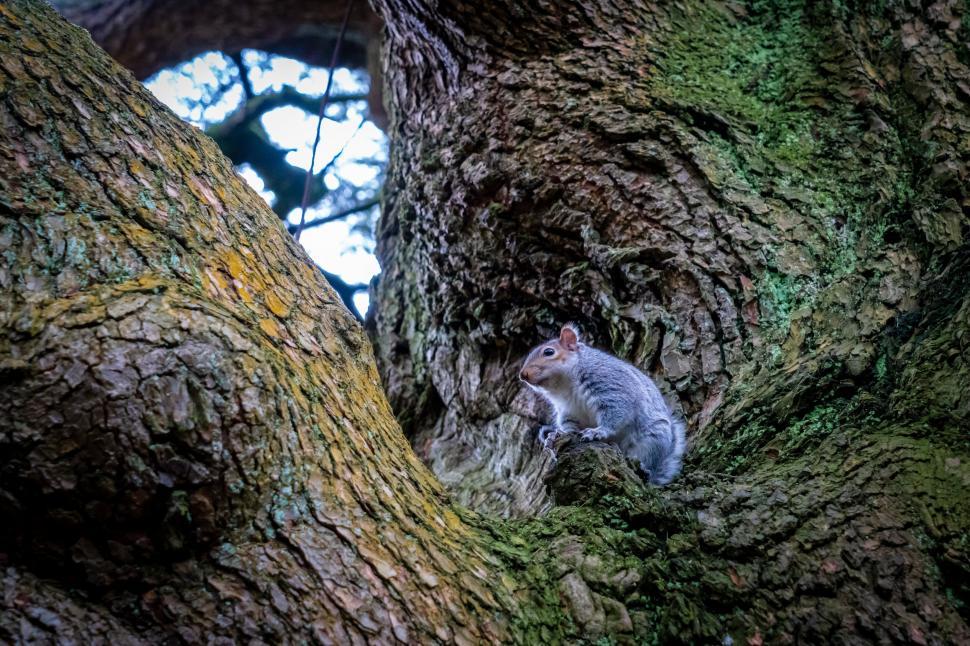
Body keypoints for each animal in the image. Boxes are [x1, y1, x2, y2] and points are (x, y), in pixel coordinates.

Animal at [519, 323, 686, 486]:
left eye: (549, 352)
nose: (522, 375)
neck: (566, 386)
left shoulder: (613, 388)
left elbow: (617, 414)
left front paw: (598, 431)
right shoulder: (568, 409)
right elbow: (569, 425)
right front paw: (559, 434)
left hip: (653, 439)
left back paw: (645, 470)